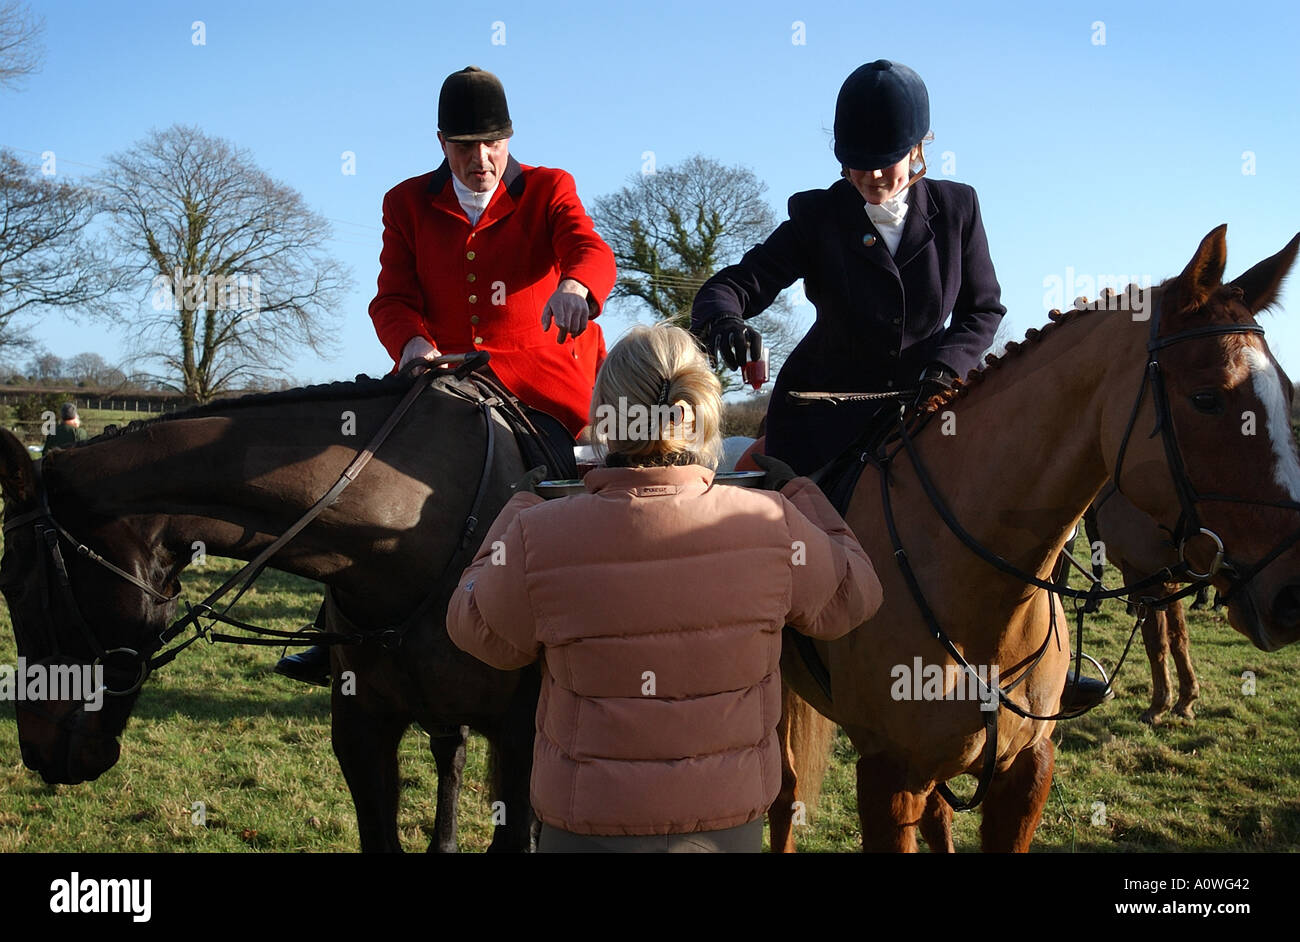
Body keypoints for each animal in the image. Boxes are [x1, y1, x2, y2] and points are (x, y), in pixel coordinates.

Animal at [769, 225, 1300, 852]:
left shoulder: (1026, 769)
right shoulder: (887, 777)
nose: (1294, 593)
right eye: (1207, 398)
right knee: (783, 794)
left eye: (1287, 394)